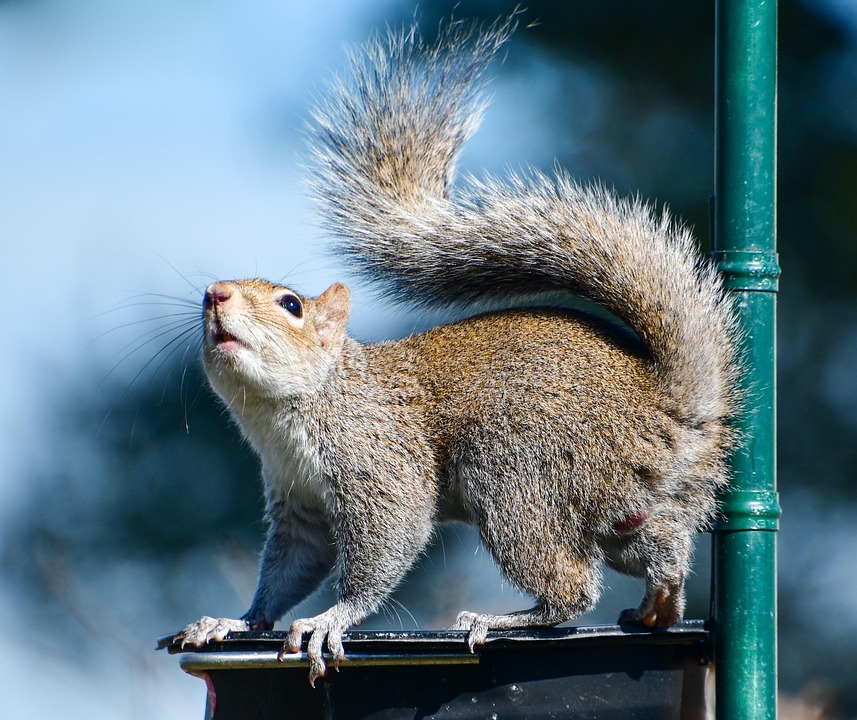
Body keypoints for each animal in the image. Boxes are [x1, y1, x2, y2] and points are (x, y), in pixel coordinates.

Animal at [171, 17, 741, 685]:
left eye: (291, 304)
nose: (214, 294)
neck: (288, 413)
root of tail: (667, 408)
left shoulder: (380, 462)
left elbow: (388, 539)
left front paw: (330, 621)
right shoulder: (299, 506)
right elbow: (287, 573)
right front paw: (236, 622)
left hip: (516, 471)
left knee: (573, 586)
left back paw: (502, 620)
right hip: (617, 503)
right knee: (660, 546)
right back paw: (660, 602)